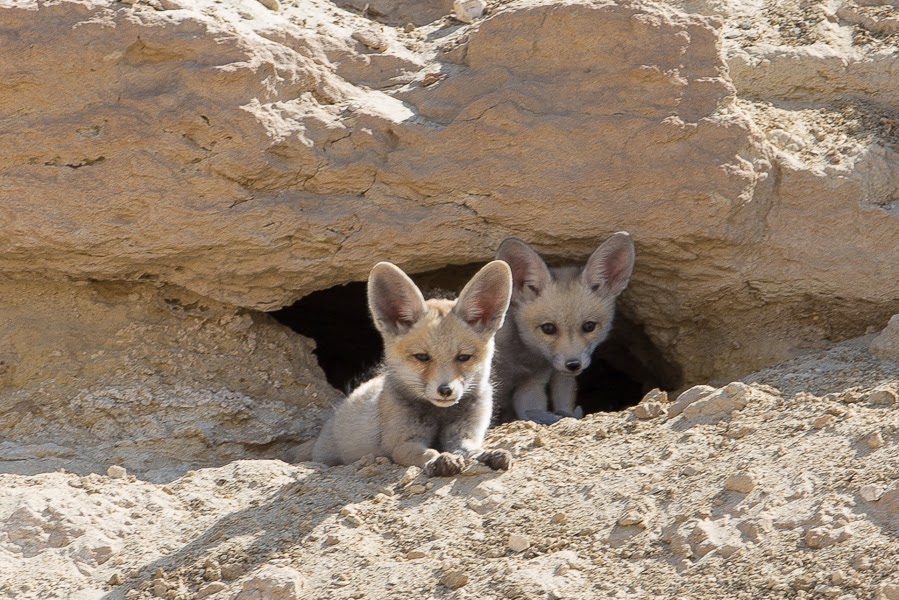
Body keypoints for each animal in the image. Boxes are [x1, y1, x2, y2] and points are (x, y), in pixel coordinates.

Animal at [307, 260, 514, 477]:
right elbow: (427, 453)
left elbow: (471, 450)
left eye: (463, 357)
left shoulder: (465, 433)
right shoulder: (401, 443)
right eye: (422, 357)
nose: (445, 390)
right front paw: (439, 461)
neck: (439, 416)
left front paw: (488, 455)